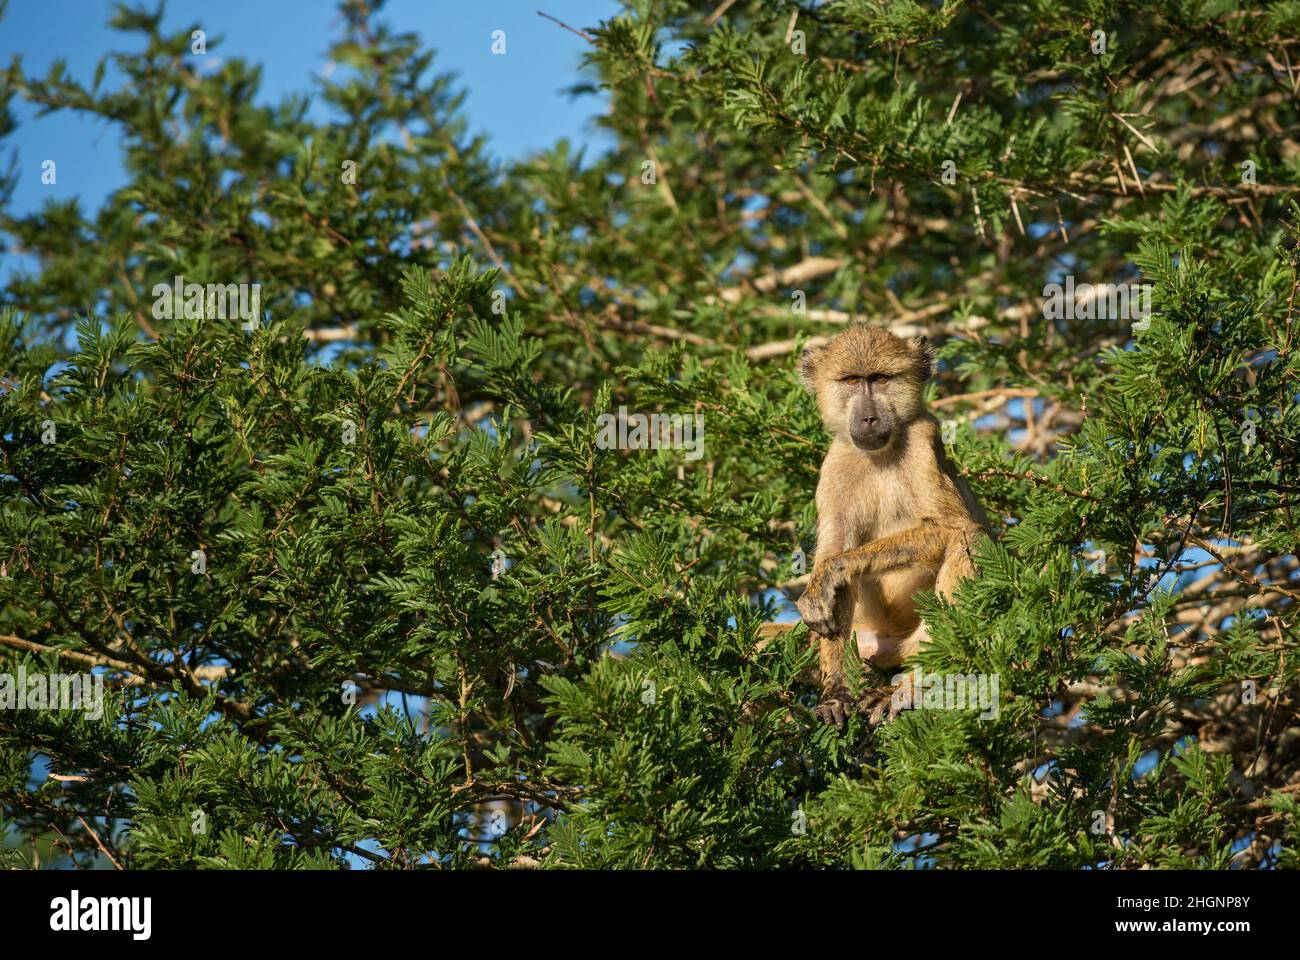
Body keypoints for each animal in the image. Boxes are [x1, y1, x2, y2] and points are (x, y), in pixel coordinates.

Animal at [790, 324, 990, 729]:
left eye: (881, 379)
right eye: (852, 380)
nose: (868, 419)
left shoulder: (923, 438)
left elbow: (952, 526)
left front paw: (831, 572)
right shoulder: (835, 462)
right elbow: (835, 553)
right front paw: (834, 695)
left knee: (970, 538)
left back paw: (912, 687)